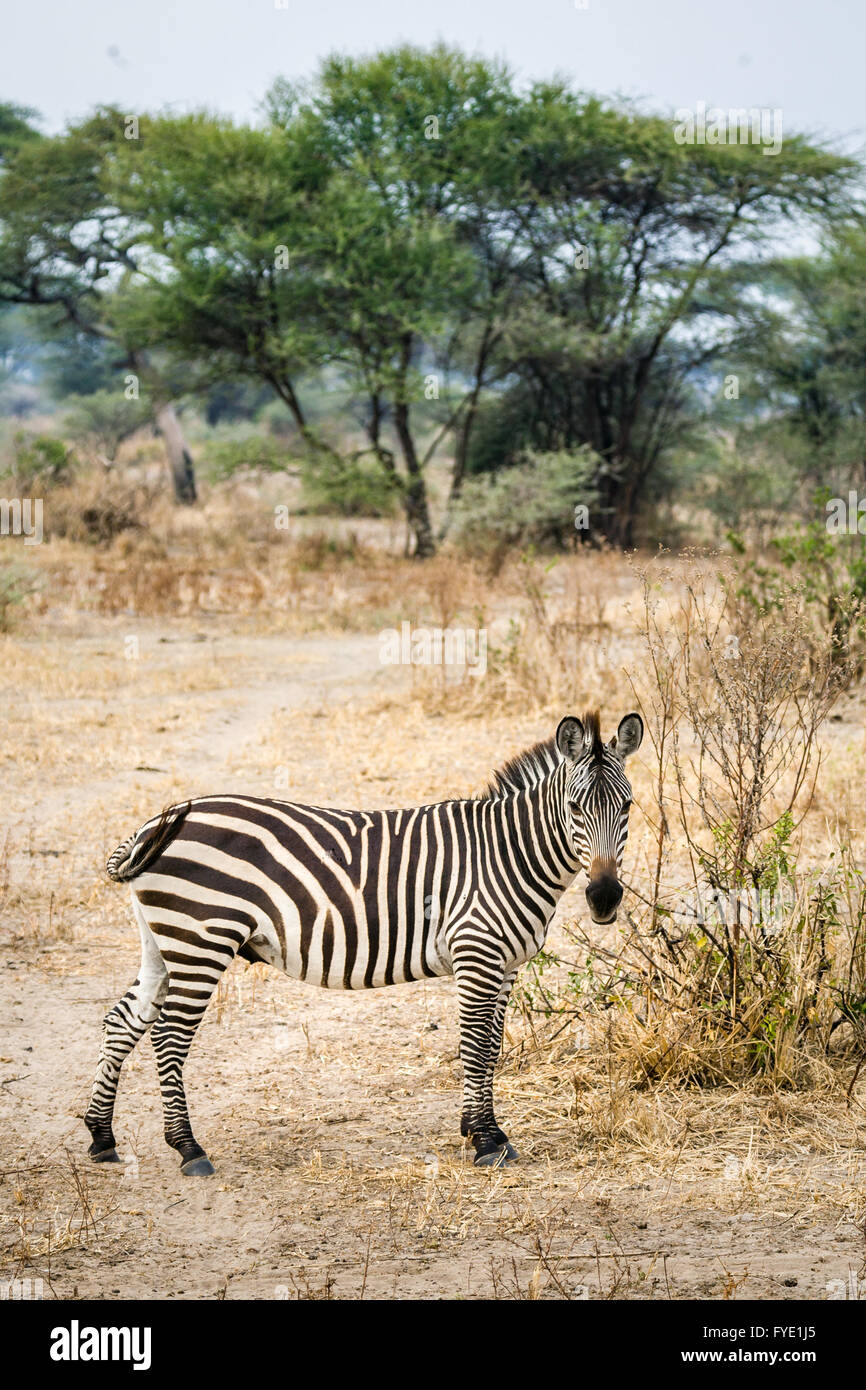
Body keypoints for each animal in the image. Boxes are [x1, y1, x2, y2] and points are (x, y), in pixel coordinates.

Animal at [85, 709, 643, 1175]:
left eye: (628, 806)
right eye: (574, 807)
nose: (604, 898)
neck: (510, 854)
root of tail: (154, 823)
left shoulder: (505, 965)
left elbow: (492, 1048)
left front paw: (480, 1129)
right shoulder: (477, 954)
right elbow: (475, 1046)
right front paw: (487, 1141)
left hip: (164, 944)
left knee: (123, 1022)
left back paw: (101, 1137)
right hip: (201, 942)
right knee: (168, 1036)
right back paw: (188, 1148)